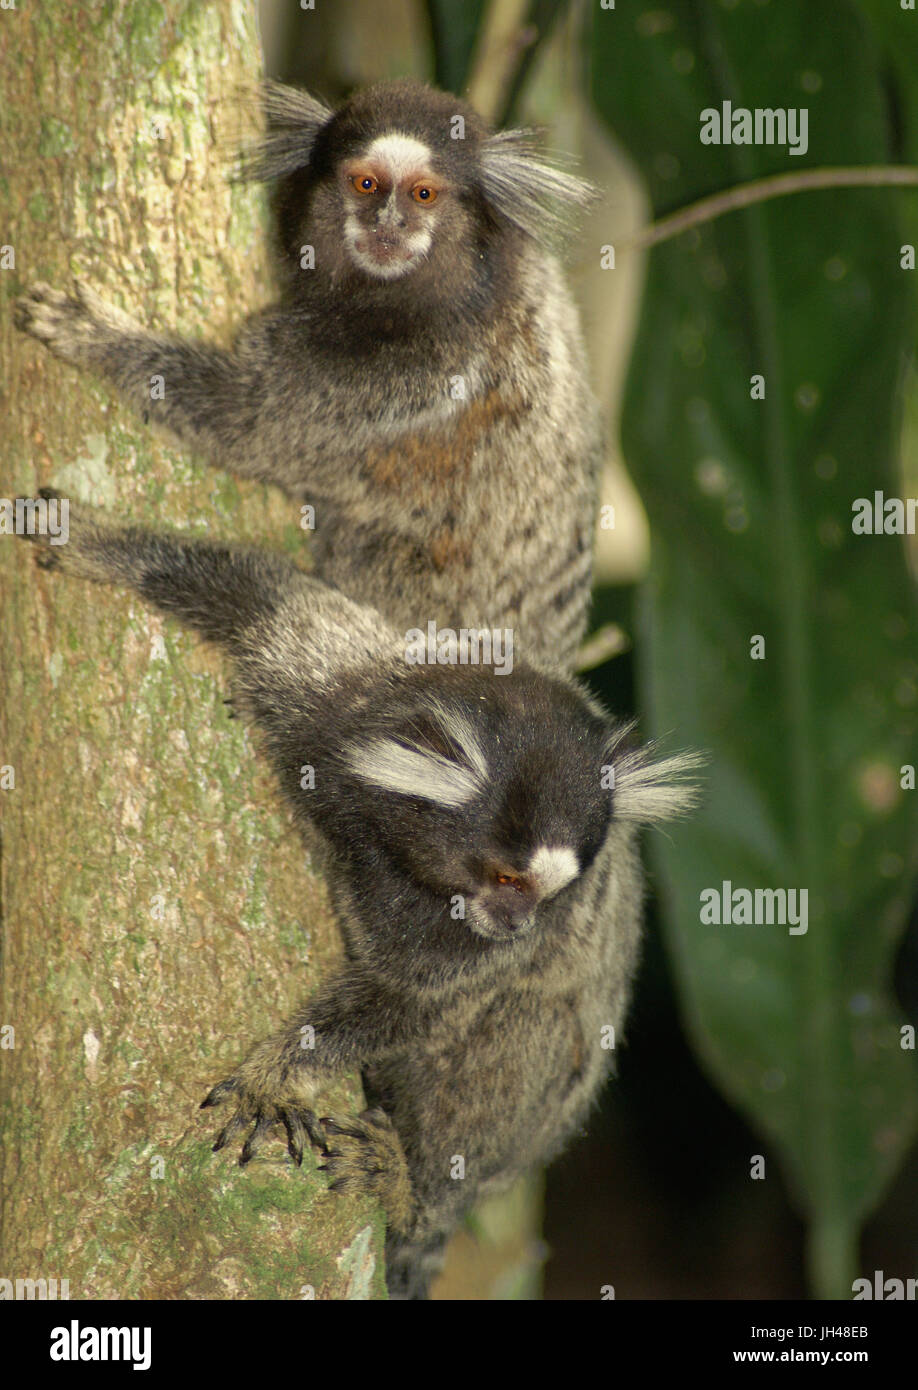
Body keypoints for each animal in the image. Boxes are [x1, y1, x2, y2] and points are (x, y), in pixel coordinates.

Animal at [13, 78, 601, 674]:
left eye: (423, 195)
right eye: (365, 184)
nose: (387, 225)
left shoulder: (418, 371)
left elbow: (247, 421)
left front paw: (99, 337)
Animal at [16, 496, 699, 1298]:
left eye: (555, 893)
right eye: (510, 880)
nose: (519, 923)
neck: (389, 843)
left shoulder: (471, 942)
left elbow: (414, 1003)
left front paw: (280, 1072)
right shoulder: (332, 691)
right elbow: (256, 595)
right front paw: (93, 544)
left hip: (520, 1130)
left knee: (521, 1031)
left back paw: (413, 1186)